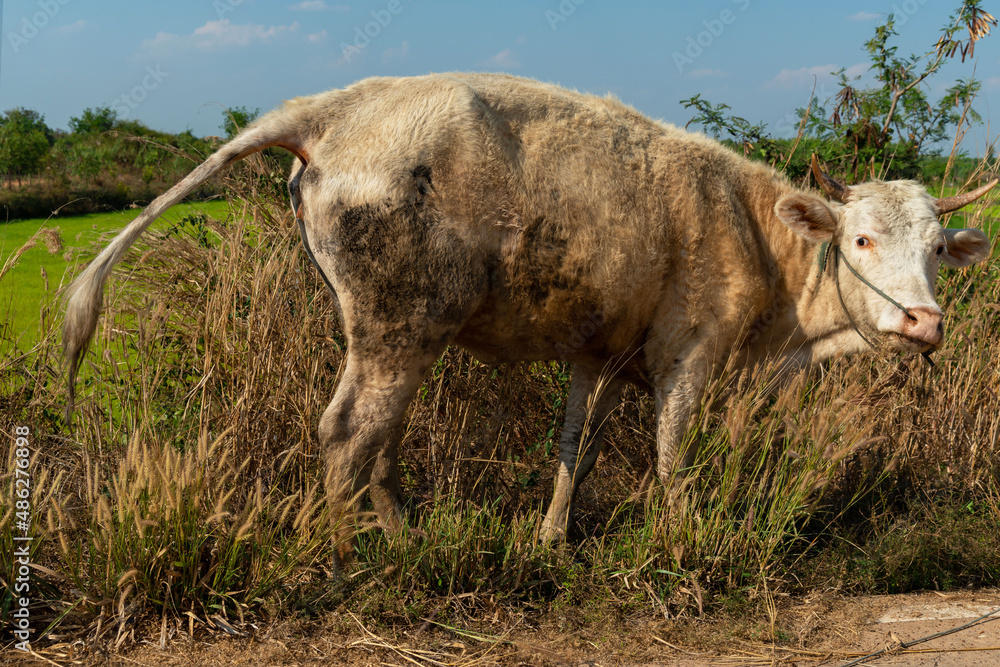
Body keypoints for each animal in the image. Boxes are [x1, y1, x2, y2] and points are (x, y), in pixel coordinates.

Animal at [63, 73, 997, 555]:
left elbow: (574, 446)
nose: (924, 323)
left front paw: (551, 535)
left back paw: (404, 533)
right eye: (864, 238)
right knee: (346, 432)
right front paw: (682, 537)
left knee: (379, 436)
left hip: (398, 332)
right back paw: (344, 552)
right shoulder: (689, 353)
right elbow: (672, 454)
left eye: (938, 247)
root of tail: (342, 106)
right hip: (399, 326)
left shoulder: (602, 353)